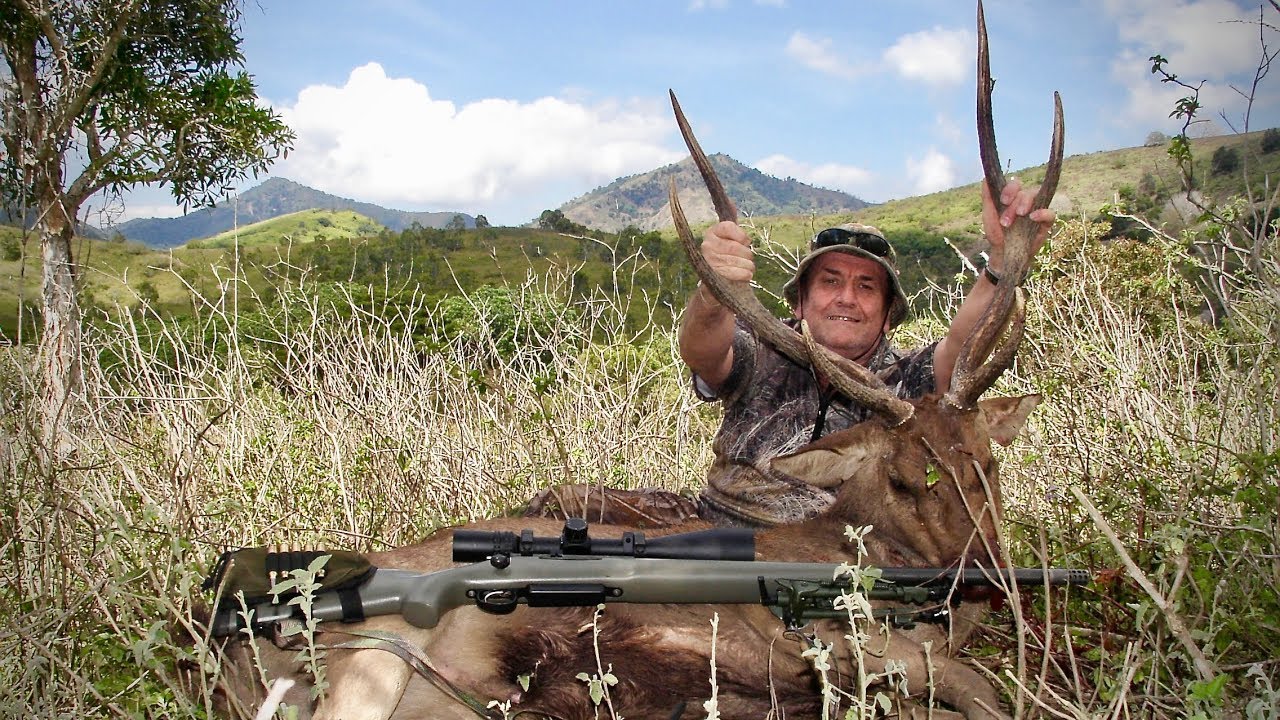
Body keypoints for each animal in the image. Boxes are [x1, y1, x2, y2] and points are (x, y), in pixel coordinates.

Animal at [203, 4, 1062, 718]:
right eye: (907, 477)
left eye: (989, 461)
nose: (985, 588)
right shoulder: (857, 642)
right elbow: (992, 693)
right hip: (375, 668)